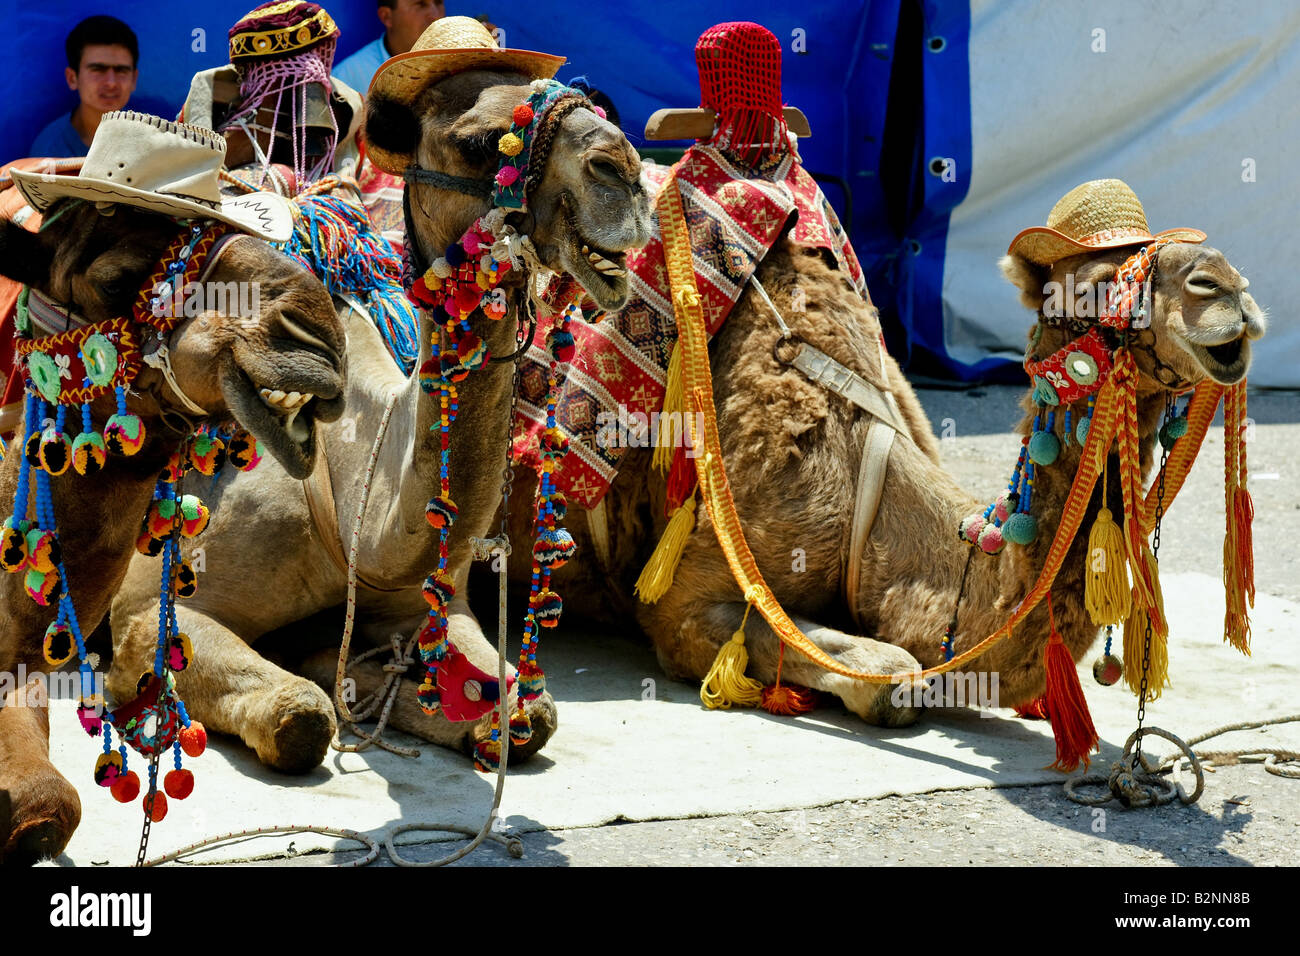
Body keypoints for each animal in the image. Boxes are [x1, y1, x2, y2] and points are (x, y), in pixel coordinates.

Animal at [107, 66, 652, 772]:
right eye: (480, 142)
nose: (624, 173)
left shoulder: (423, 603)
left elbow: (530, 713)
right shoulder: (145, 610)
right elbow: (299, 715)